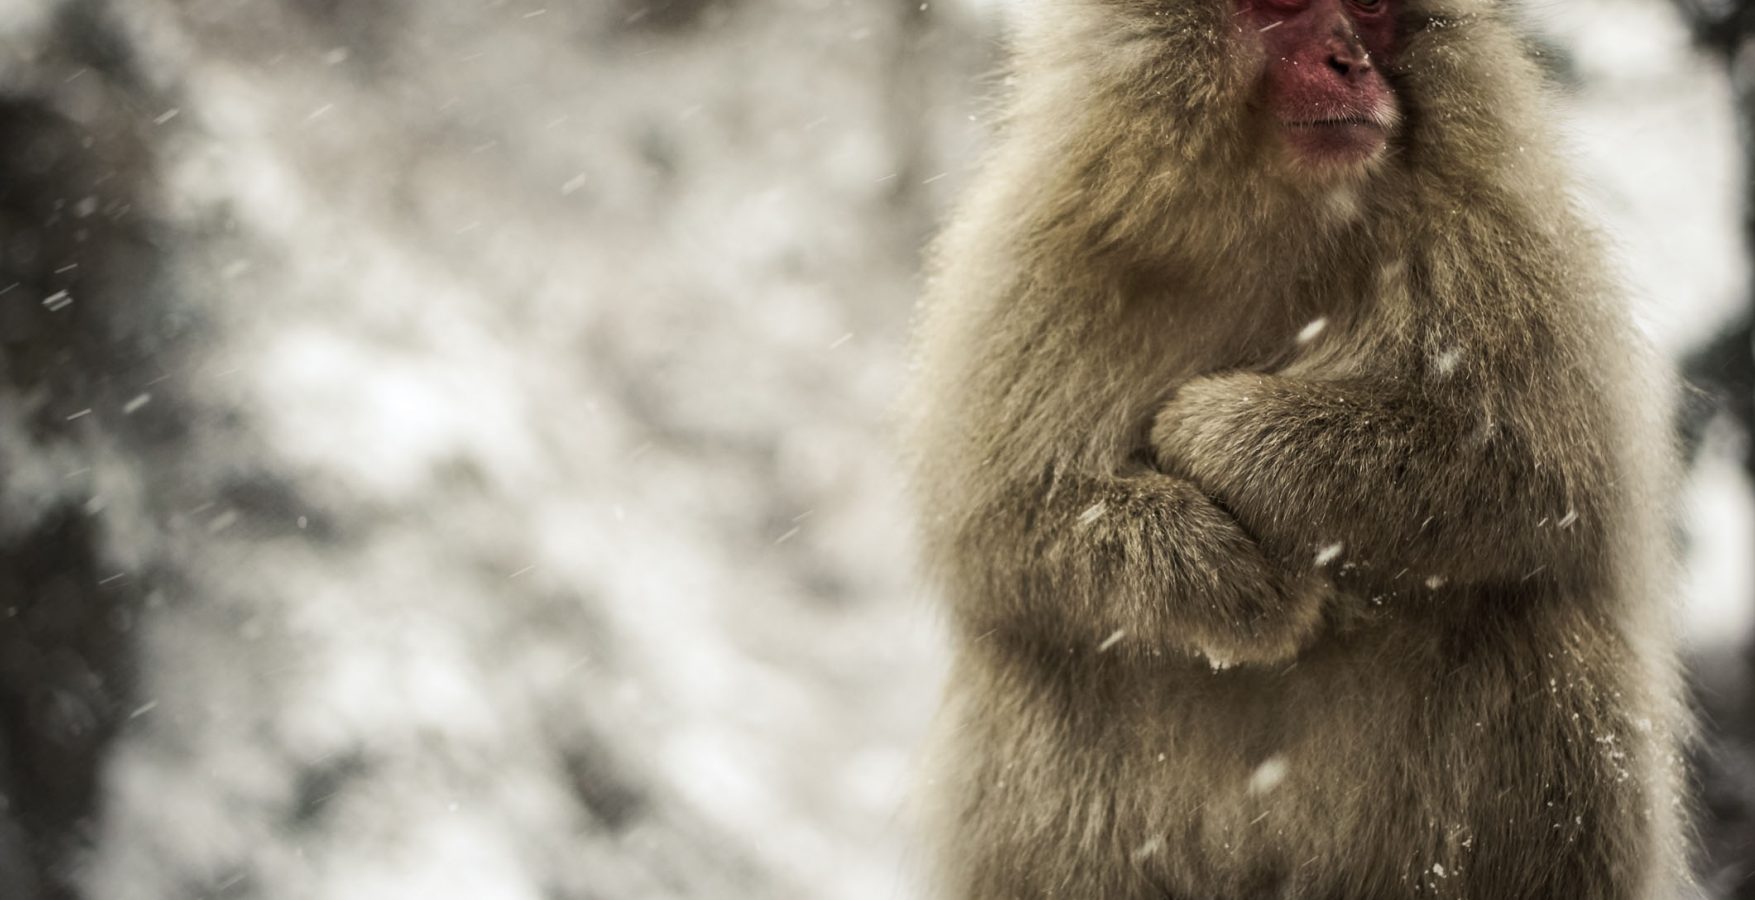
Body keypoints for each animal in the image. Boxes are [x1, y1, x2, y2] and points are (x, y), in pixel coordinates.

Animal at [903, 0, 1690, 897]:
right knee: (1037, 669)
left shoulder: (1500, 242)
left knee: (1540, 629)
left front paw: (1222, 434)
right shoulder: (1033, 257)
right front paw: (1231, 584)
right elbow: (999, 529)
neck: (1274, 217)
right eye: (1277, 8)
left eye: (1372, 10)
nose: (1349, 61)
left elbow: (1547, 478)